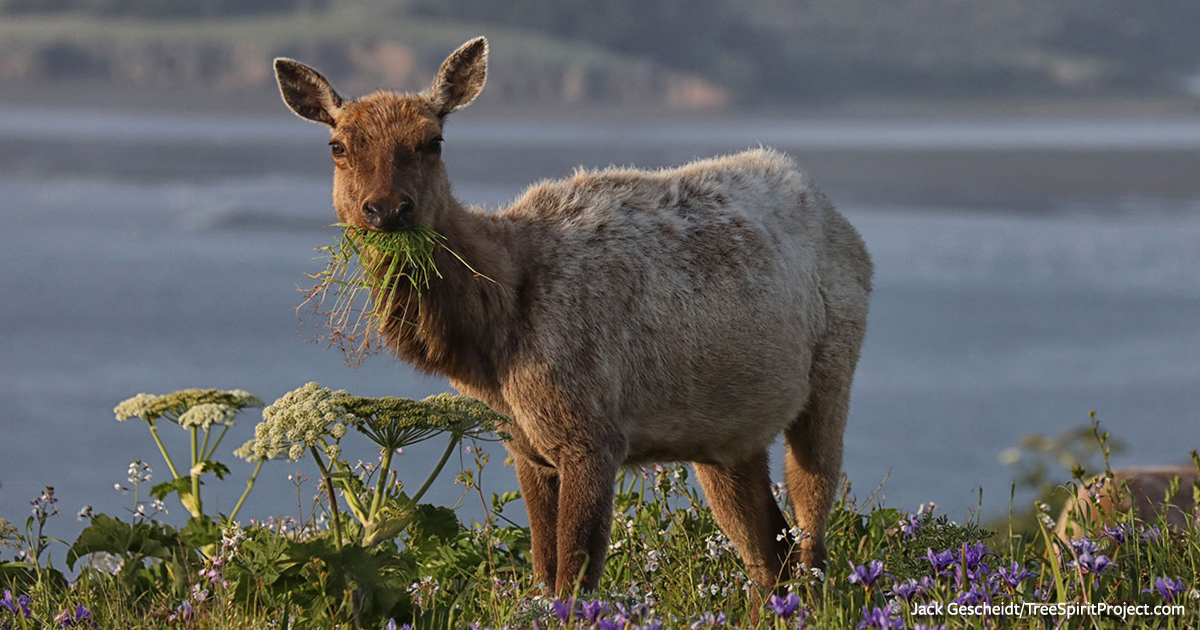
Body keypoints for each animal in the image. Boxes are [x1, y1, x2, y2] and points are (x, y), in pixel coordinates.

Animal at [274, 37, 873, 596]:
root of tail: (837, 215)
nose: (387, 210)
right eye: (338, 146)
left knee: (811, 536)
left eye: (433, 141)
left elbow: (573, 584)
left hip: (834, 371)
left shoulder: (591, 430)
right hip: (725, 435)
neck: (495, 336)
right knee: (769, 556)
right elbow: (542, 574)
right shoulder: (524, 444)